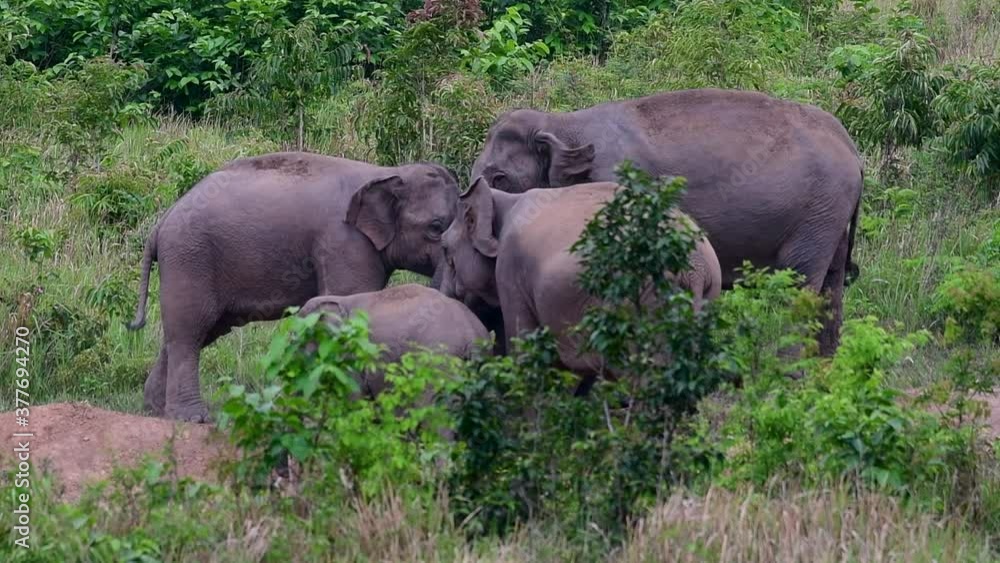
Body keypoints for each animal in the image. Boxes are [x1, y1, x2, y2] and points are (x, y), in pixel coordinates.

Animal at [127, 152, 459, 422]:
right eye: (436, 227)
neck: (388, 172)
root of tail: (161, 222)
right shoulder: (345, 243)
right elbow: (350, 297)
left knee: (199, 330)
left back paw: (156, 409)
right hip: (190, 256)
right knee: (191, 330)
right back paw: (191, 418)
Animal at [438, 179, 721, 390]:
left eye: (445, 249)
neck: (507, 199)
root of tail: (696, 265)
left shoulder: (510, 271)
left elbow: (526, 353)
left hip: (643, 300)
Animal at [470, 88, 863, 356]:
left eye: (500, 177)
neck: (564, 124)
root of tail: (851, 147)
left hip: (817, 212)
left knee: (799, 284)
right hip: (830, 216)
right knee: (832, 286)